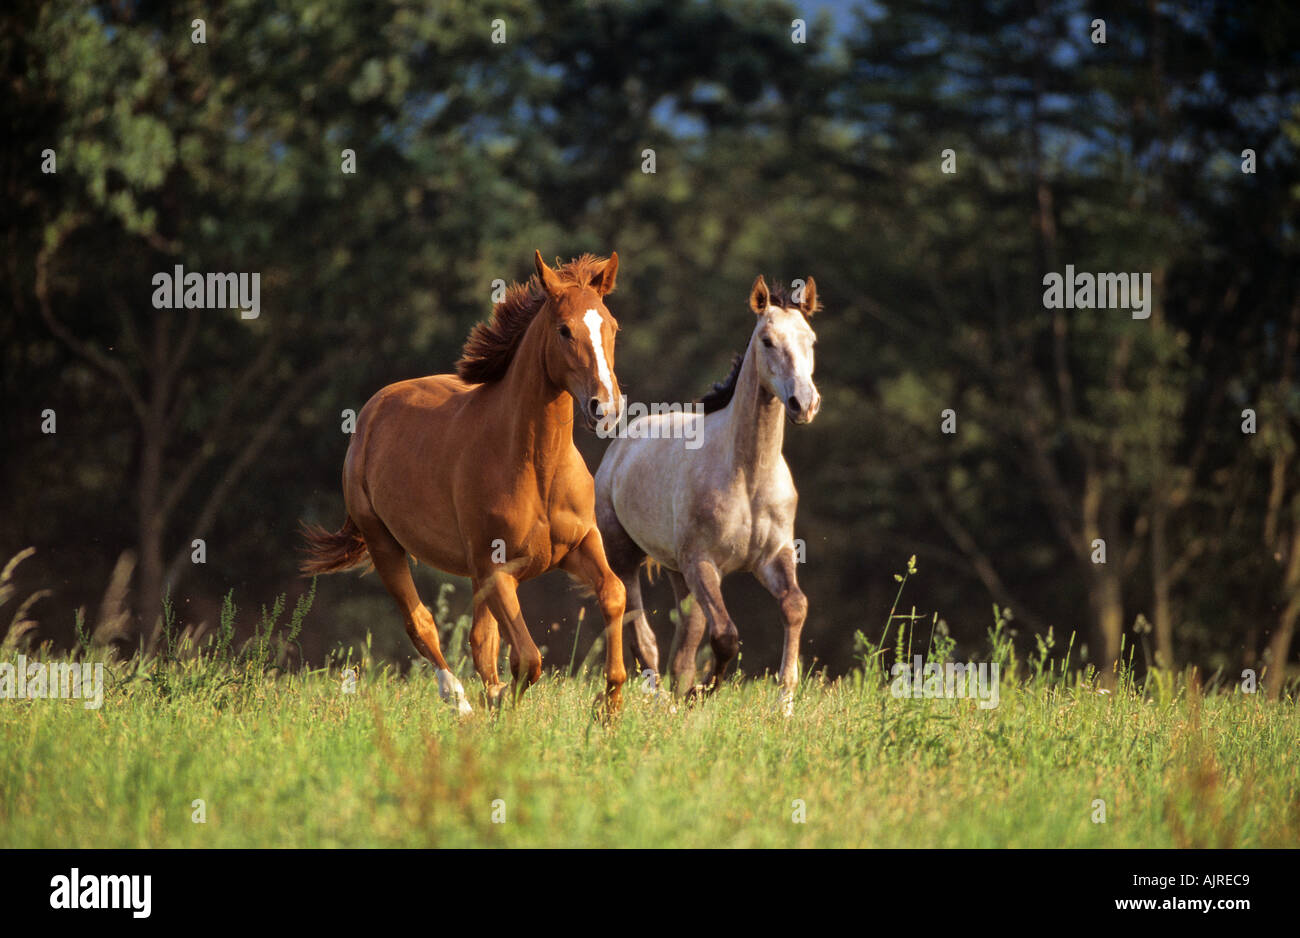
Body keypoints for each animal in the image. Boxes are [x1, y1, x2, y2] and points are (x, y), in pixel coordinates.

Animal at [302, 251, 629, 715]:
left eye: (612, 327)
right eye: (564, 330)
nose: (606, 407)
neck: (538, 469)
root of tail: (370, 411)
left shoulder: (579, 546)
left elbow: (614, 593)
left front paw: (609, 705)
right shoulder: (496, 569)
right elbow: (527, 658)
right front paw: (502, 706)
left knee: (479, 639)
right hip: (385, 545)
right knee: (421, 623)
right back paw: (458, 701)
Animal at [594, 274, 821, 715]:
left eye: (811, 339)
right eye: (767, 340)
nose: (804, 403)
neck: (748, 477)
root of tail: (621, 445)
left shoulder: (775, 556)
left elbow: (795, 606)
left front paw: (784, 704)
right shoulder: (703, 563)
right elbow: (726, 636)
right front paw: (702, 693)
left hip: (679, 574)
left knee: (684, 643)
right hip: (628, 558)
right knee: (645, 640)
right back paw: (663, 702)